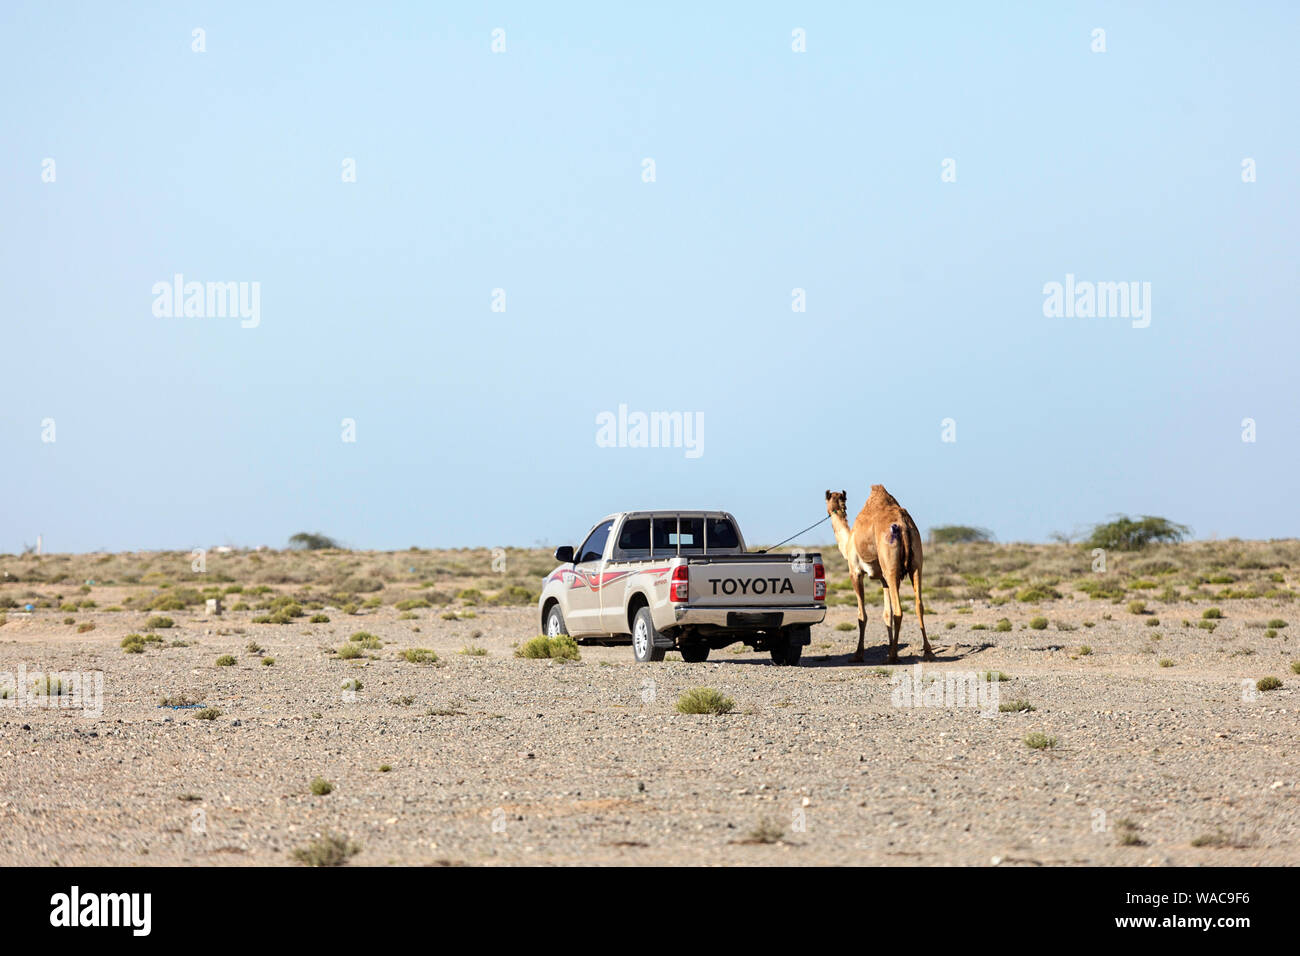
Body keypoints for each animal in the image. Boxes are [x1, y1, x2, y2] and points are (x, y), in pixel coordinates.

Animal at [825, 485, 933, 664]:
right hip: (916, 564)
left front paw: (858, 654)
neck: (848, 542)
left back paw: (893, 657)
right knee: (919, 605)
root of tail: (903, 524)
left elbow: (862, 616)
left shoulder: (855, 572)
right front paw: (888, 647)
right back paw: (928, 652)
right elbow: (886, 614)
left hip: (891, 566)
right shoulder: (884, 580)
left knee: (899, 610)